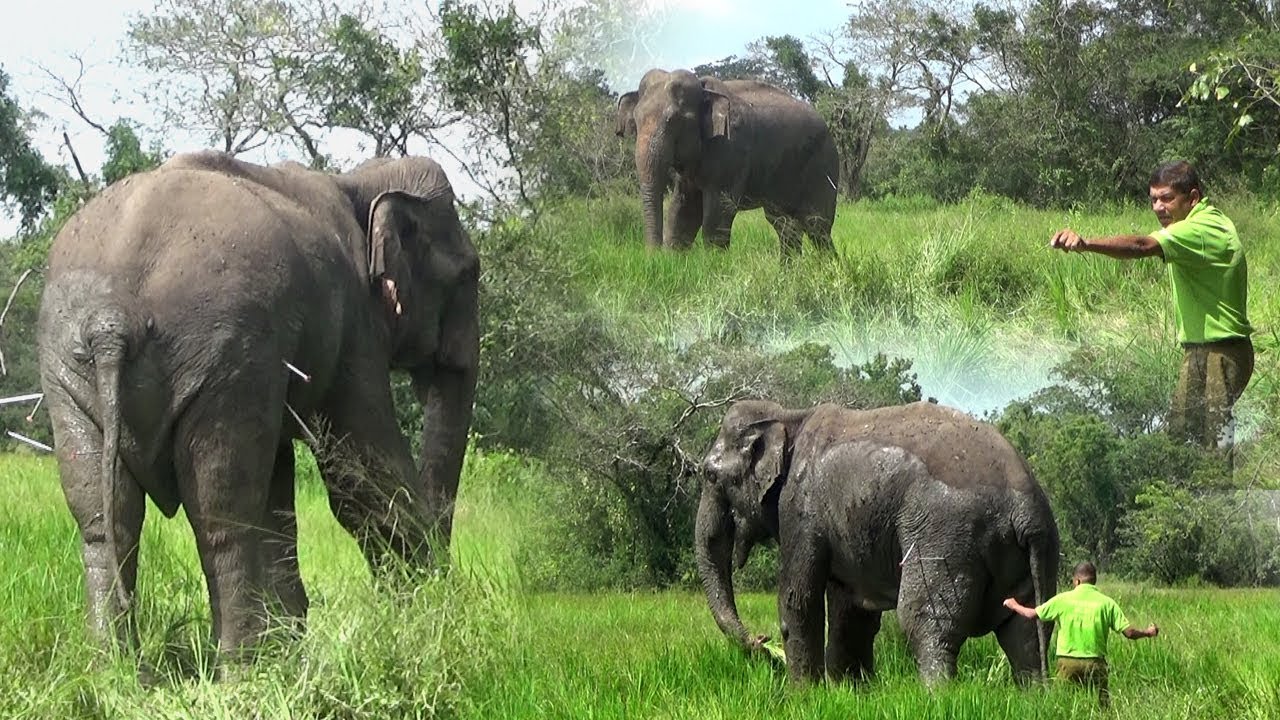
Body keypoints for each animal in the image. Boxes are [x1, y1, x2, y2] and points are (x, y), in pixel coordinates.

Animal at [36, 151, 479, 664]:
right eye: (469, 273)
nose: (436, 593)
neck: (357, 183)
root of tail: (113, 321)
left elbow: (281, 490)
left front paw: (291, 647)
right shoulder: (353, 325)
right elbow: (360, 475)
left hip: (67, 372)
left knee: (103, 520)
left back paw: (117, 669)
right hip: (226, 356)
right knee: (223, 518)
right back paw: (239, 669)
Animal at [616, 68, 839, 258]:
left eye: (675, 121)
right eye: (635, 121)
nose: (653, 256)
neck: (704, 88)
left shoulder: (730, 148)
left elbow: (717, 215)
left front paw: (714, 265)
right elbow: (683, 211)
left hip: (823, 164)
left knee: (817, 224)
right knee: (784, 224)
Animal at [697, 400, 1059, 685]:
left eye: (709, 475)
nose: (760, 641)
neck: (788, 417)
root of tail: (1027, 511)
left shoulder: (801, 510)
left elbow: (798, 599)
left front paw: (803, 696)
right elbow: (850, 611)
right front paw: (850, 694)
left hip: (945, 539)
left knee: (925, 625)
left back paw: (936, 697)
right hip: (1038, 552)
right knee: (1026, 632)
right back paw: (1034, 697)